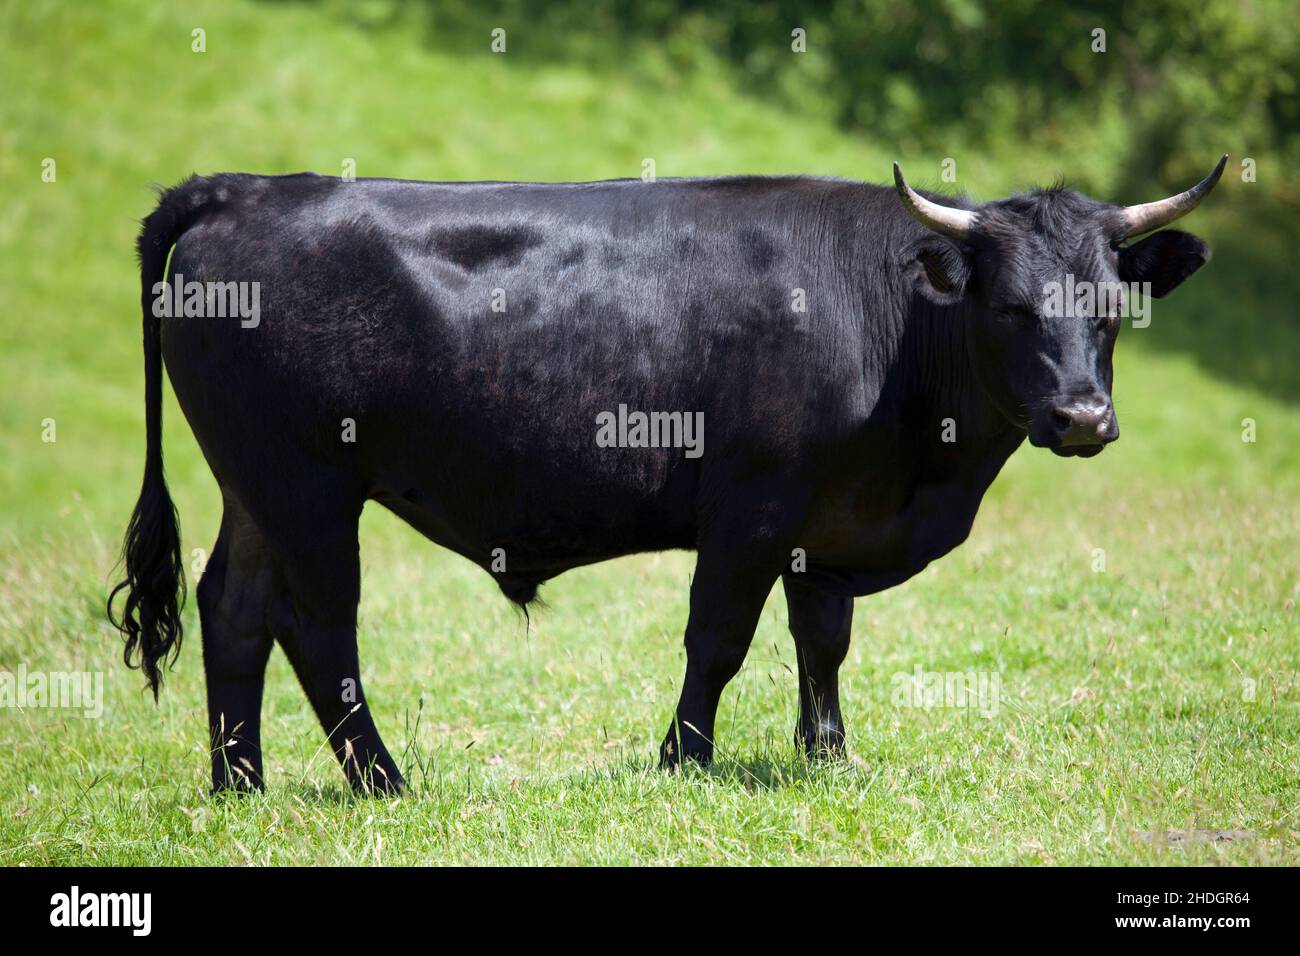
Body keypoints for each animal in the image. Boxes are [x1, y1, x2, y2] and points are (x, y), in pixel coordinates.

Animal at [109, 157, 1225, 793]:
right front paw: (684, 759)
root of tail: (242, 189)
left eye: (1110, 308)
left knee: (234, 607)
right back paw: (383, 781)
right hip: (305, 485)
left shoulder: (825, 524)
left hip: (256, 489)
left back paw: (240, 784)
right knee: (315, 623)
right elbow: (719, 641)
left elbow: (823, 641)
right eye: (1011, 306)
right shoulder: (751, 509)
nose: (1082, 417)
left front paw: (829, 757)